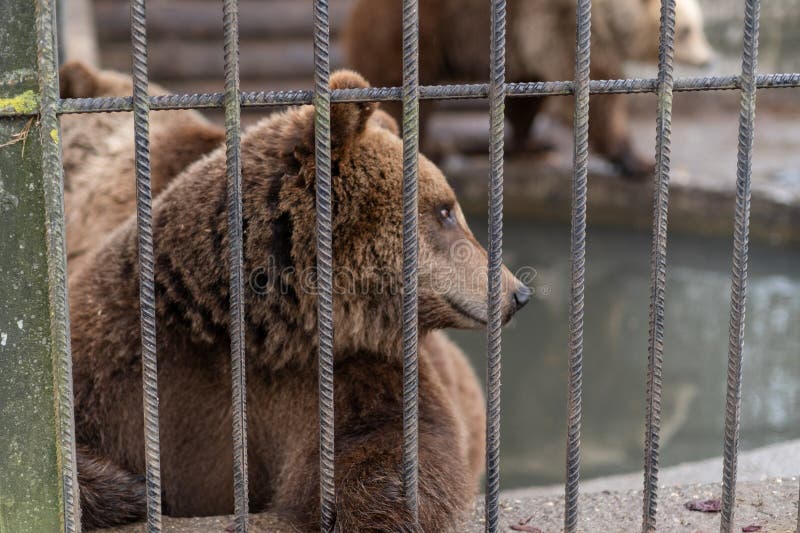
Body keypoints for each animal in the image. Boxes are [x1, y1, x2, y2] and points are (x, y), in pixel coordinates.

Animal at [343, 0, 714, 178]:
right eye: (688, 30)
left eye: (698, 26)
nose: (709, 59)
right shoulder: (561, 24)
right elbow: (594, 98)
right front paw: (638, 160)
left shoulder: (529, 43)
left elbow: (529, 97)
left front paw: (532, 143)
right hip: (417, 32)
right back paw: (434, 147)